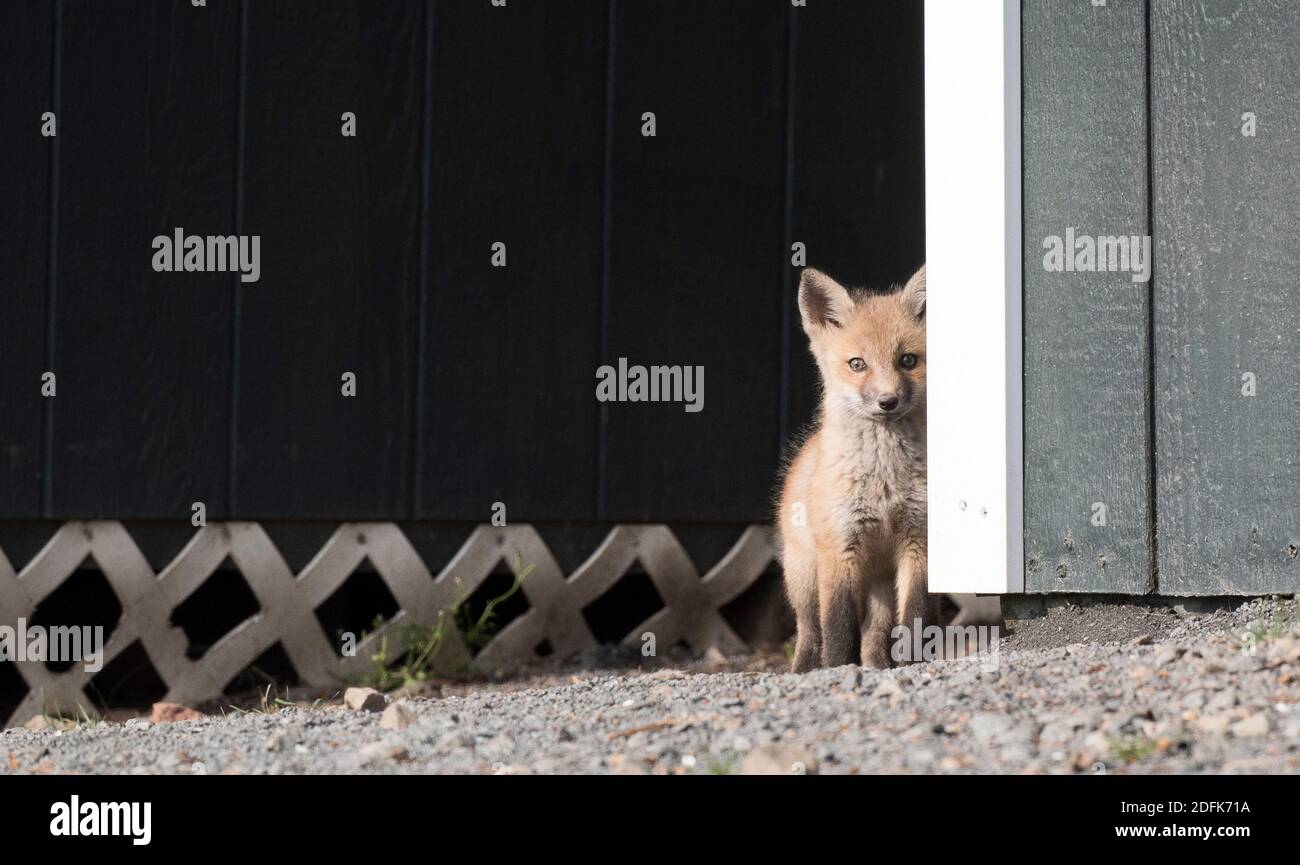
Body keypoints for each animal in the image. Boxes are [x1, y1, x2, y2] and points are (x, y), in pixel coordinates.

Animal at [777, 263, 937, 672]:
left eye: (908, 360)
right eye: (857, 364)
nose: (887, 401)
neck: (884, 479)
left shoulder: (919, 540)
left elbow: (915, 614)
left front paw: (913, 664)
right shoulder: (840, 547)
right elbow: (837, 623)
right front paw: (837, 667)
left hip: (880, 583)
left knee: (874, 633)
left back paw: (878, 665)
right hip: (803, 580)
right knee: (808, 630)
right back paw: (804, 669)